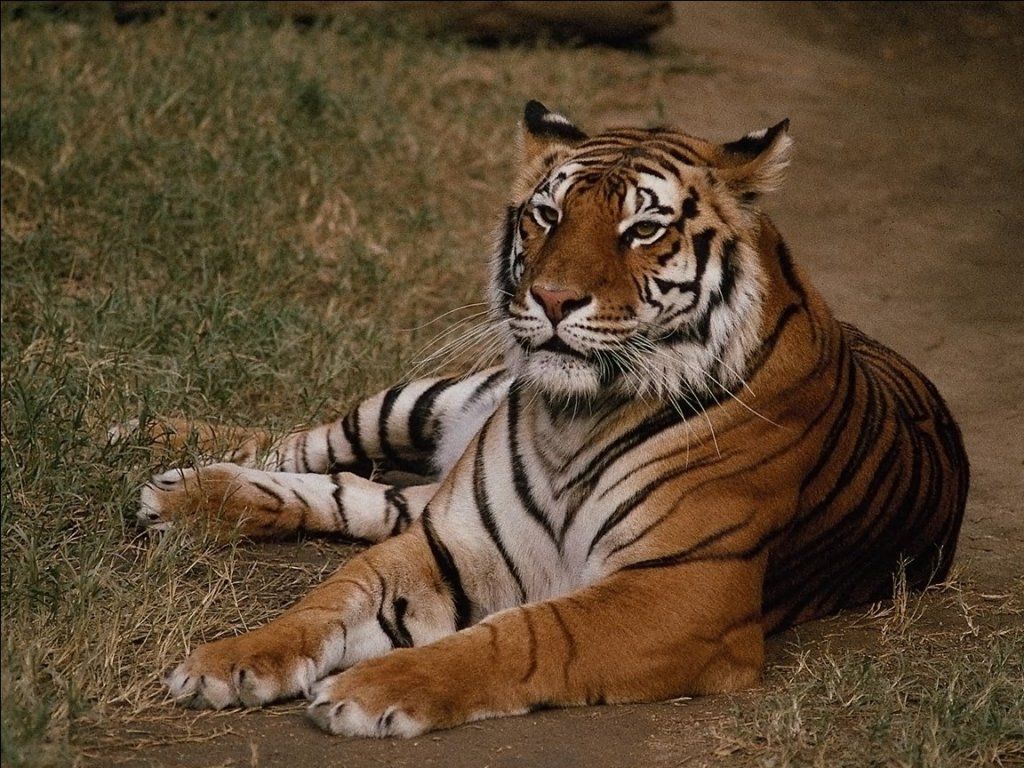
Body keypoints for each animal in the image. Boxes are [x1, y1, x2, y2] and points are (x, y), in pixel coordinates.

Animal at [131, 101, 969, 738]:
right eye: (547, 214)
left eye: (643, 229)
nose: (554, 299)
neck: (576, 416)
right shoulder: (450, 540)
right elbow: (330, 597)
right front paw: (228, 660)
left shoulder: (683, 590)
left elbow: (521, 634)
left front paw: (371, 690)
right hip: (429, 402)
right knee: (317, 444)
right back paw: (164, 459)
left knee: (362, 492)